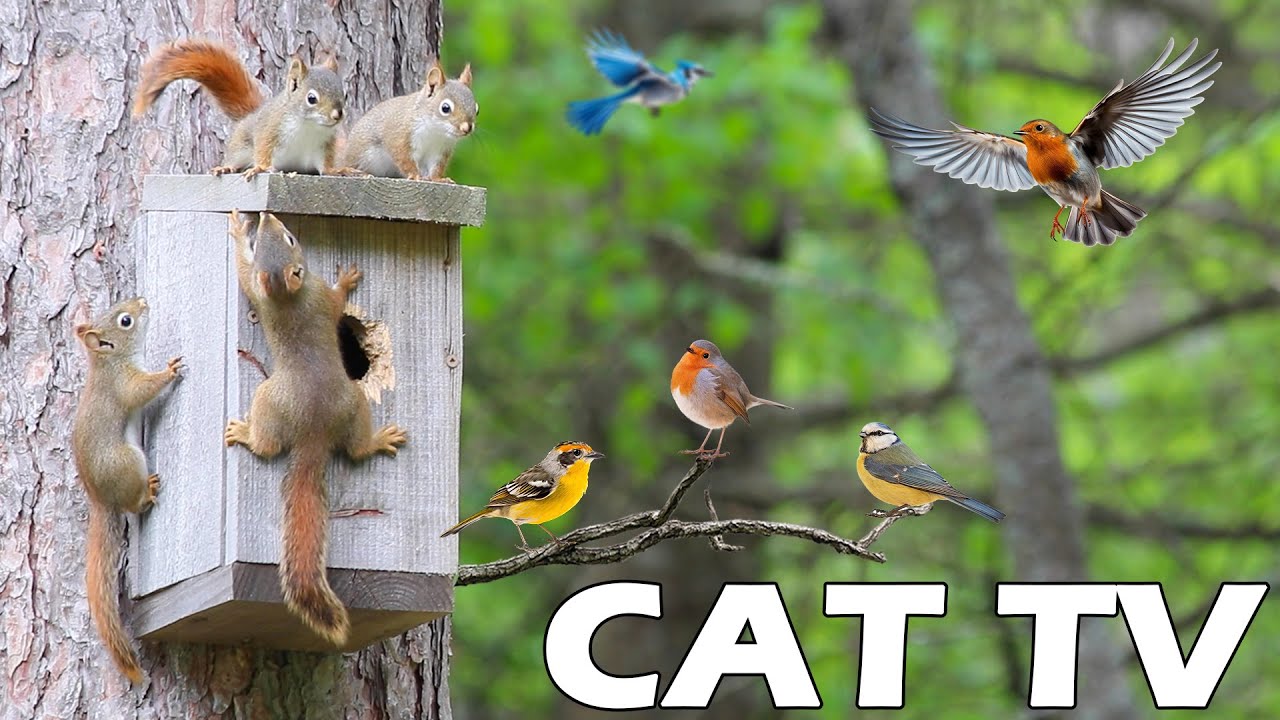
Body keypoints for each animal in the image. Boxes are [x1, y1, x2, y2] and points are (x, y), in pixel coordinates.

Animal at [71, 297, 184, 684]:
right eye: (125, 321)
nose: (143, 301)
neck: (111, 361)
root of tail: (100, 499)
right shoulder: (125, 384)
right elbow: (143, 391)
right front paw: (169, 371)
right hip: (128, 460)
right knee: (134, 505)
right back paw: (147, 493)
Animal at [133, 39, 346, 180]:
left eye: (344, 94)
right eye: (311, 98)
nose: (337, 115)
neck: (309, 126)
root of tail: (251, 115)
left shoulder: (325, 145)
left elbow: (324, 165)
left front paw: (336, 170)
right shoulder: (270, 129)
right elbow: (263, 148)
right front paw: (261, 168)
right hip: (239, 146)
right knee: (234, 158)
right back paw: (225, 168)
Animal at [224, 210, 407, 646]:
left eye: (285, 237)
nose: (266, 214)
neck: (286, 296)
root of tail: (314, 430)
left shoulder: (271, 291)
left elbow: (244, 275)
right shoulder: (321, 297)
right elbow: (337, 299)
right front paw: (348, 279)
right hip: (337, 401)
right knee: (336, 448)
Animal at [341, 57, 476, 183]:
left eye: (476, 109)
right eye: (445, 108)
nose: (467, 128)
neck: (435, 131)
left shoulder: (440, 150)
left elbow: (436, 168)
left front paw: (438, 179)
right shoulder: (400, 137)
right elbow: (405, 159)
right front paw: (416, 175)